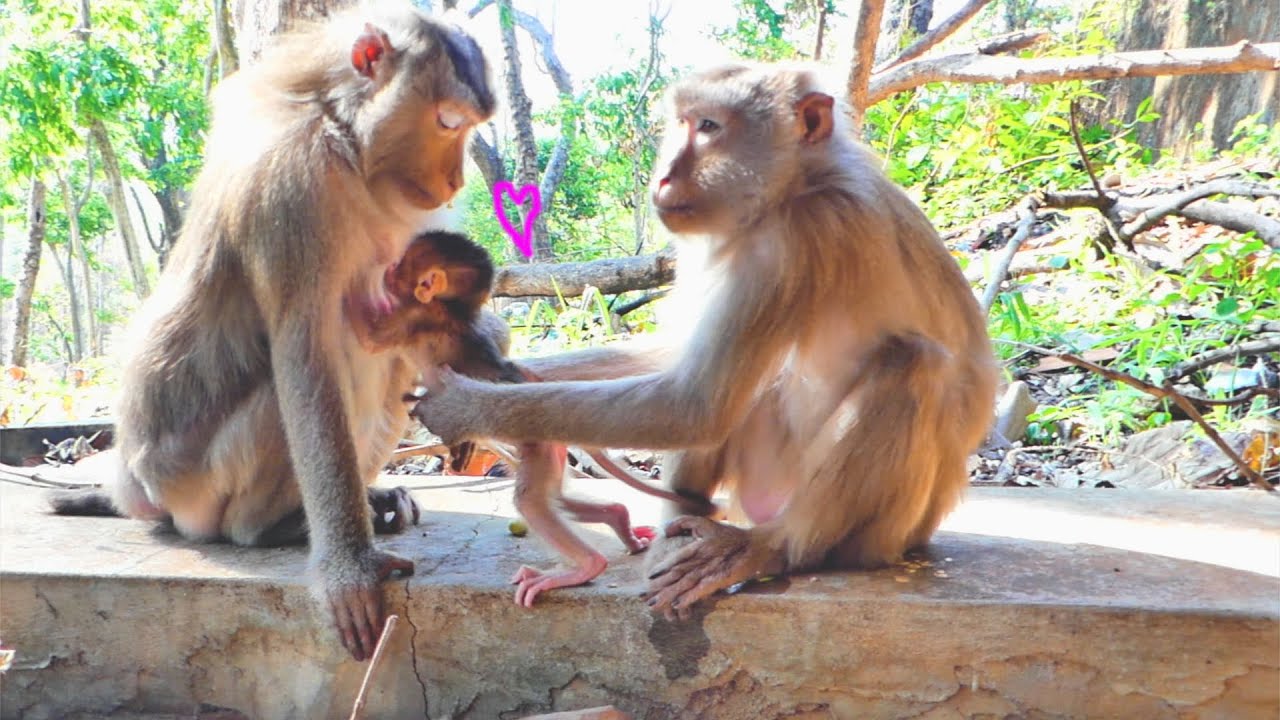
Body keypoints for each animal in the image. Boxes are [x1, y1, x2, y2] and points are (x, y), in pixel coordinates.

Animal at [47, 7, 496, 660]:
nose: (456, 181)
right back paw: (271, 528)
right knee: (344, 348)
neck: (340, 134)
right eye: (448, 122)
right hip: (196, 485)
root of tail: (135, 485)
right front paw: (348, 571)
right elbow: (306, 356)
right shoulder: (292, 186)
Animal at [410, 64, 999, 619]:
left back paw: (773, 546)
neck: (799, 185)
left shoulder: (791, 245)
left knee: (909, 363)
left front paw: (465, 406)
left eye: (710, 127)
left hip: (883, 529)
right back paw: (676, 519)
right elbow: (681, 362)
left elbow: (696, 403)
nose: (665, 175)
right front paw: (514, 372)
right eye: (681, 124)